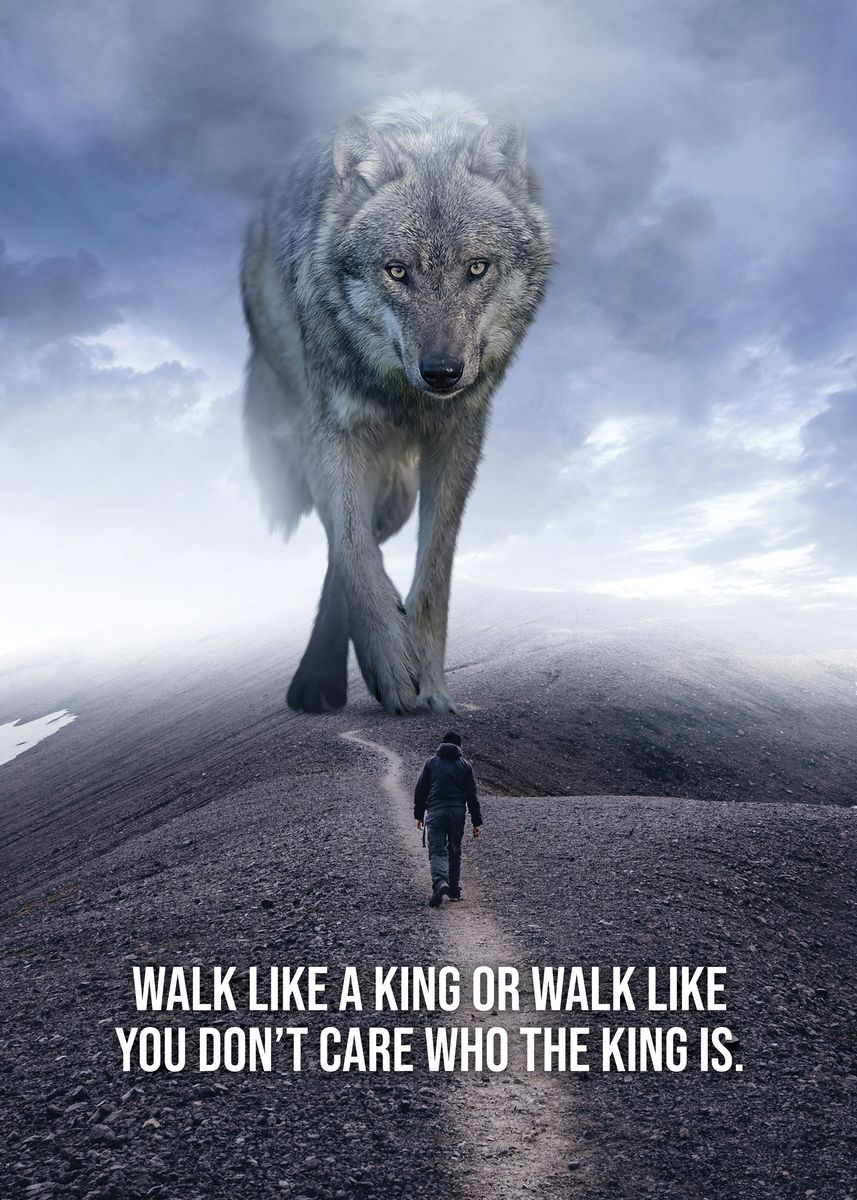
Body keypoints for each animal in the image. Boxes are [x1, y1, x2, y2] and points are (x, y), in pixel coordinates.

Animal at [241, 91, 552, 715]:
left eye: (476, 267)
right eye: (397, 271)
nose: (442, 373)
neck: (405, 397)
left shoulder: (459, 438)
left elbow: (434, 570)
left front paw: (428, 681)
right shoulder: (334, 434)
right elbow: (355, 552)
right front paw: (388, 662)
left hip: (398, 493)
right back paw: (320, 678)